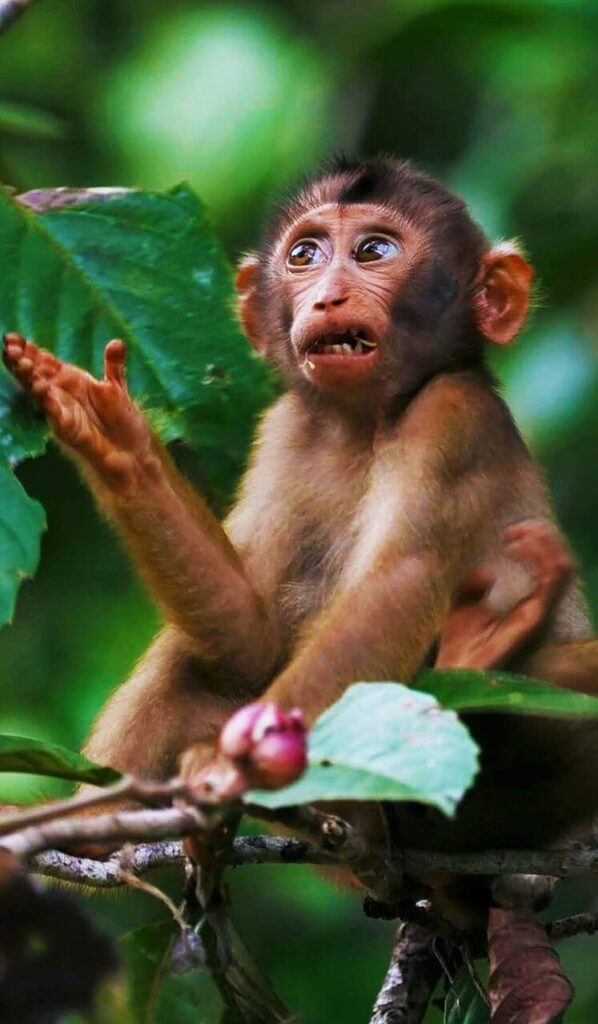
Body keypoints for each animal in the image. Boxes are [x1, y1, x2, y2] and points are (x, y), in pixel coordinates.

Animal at [3, 156, 598, 858]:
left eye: (374, 250)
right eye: (305, 255)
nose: (327, 297)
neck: (360, 425)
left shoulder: (455, 415)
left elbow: (396, 586)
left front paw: (231, 766)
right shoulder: (283, 430)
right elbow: (250, 642)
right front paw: (117, 437)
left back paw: (480, 649)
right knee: (193, 662)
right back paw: (92, 825)